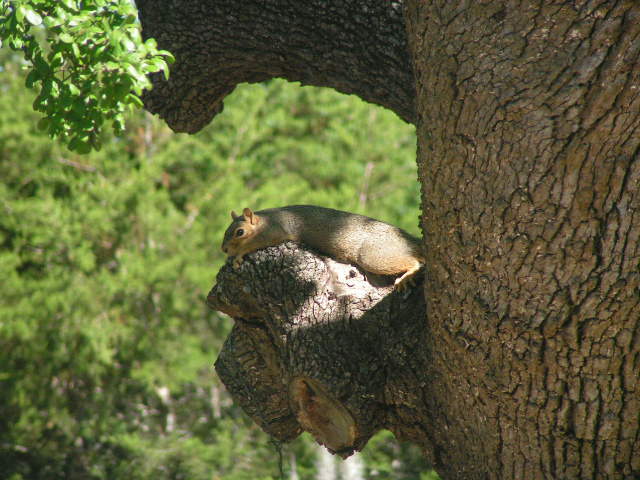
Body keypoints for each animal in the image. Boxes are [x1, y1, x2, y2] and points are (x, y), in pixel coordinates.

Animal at [221, 205, 424, 289]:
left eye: (240, 232)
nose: (224, 249)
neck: (265, 220)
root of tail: (410, 240)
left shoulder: (275, 229)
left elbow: (257, 243)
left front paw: (237, 255)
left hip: (374, 256)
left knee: (414, 262)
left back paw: (408, 275)